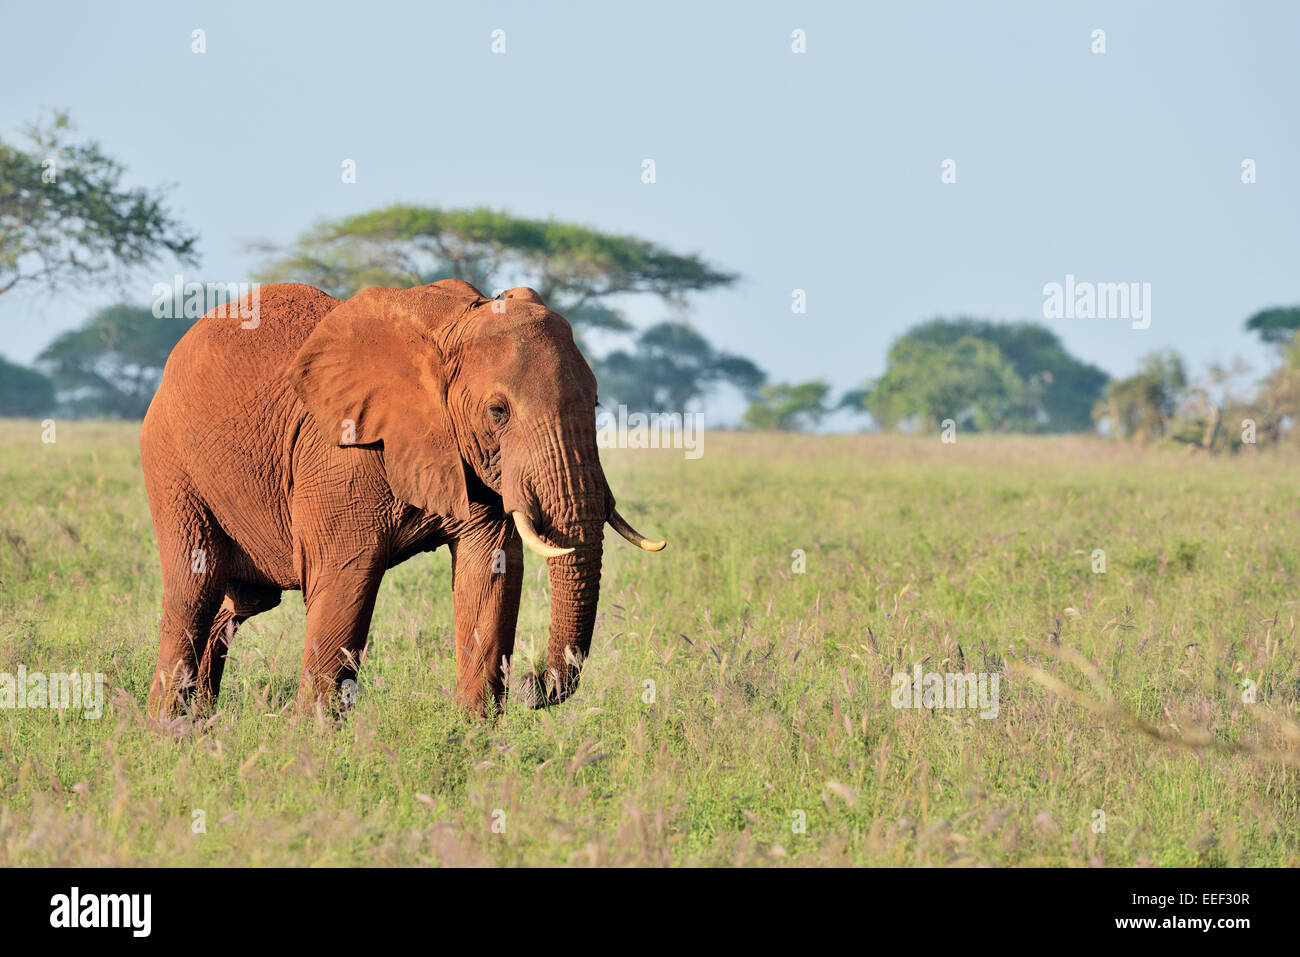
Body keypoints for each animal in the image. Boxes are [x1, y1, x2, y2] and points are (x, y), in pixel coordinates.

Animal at [140, 279, 665, 717]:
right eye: (498, 412)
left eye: (595, 405)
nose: (530, 686)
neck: (452, 330)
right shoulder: (340, 451)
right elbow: (346, 579)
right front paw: (314, 748)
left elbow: (489, 574)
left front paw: (475, 739)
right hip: (170, 462)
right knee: (194, 588)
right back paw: (168, 732)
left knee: (238, 604)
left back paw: (201, 725)